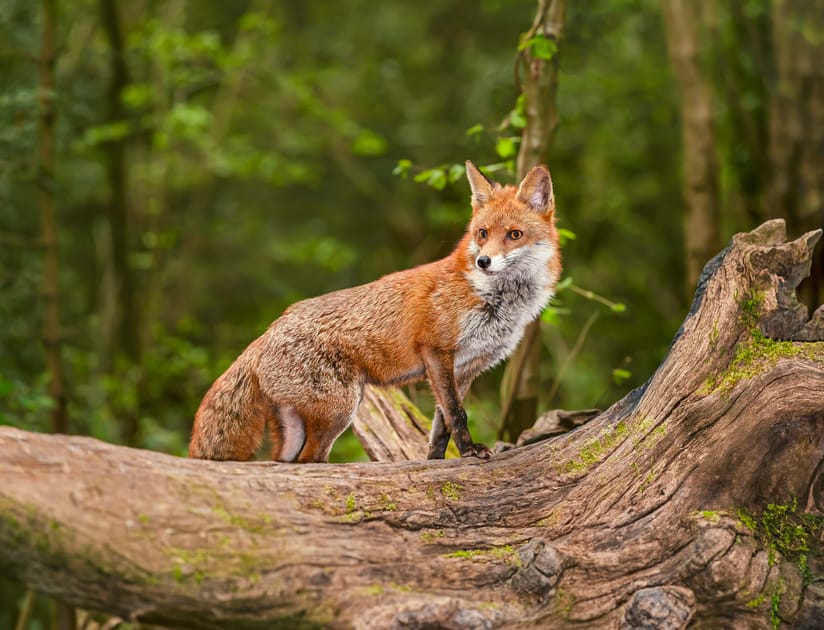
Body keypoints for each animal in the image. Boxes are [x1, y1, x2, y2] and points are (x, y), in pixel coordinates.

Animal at [189, 161, 561, 463]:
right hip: (340, 410)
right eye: (482, 233)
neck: (494, 300)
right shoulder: (436, 350)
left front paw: (435, 462)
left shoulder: (466, 368)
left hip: (301, 426)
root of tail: (267, 332)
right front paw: (469, 451)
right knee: (309, 462)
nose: (484, 261)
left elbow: (441, 424)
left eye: (514, 235)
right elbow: (457, 414)